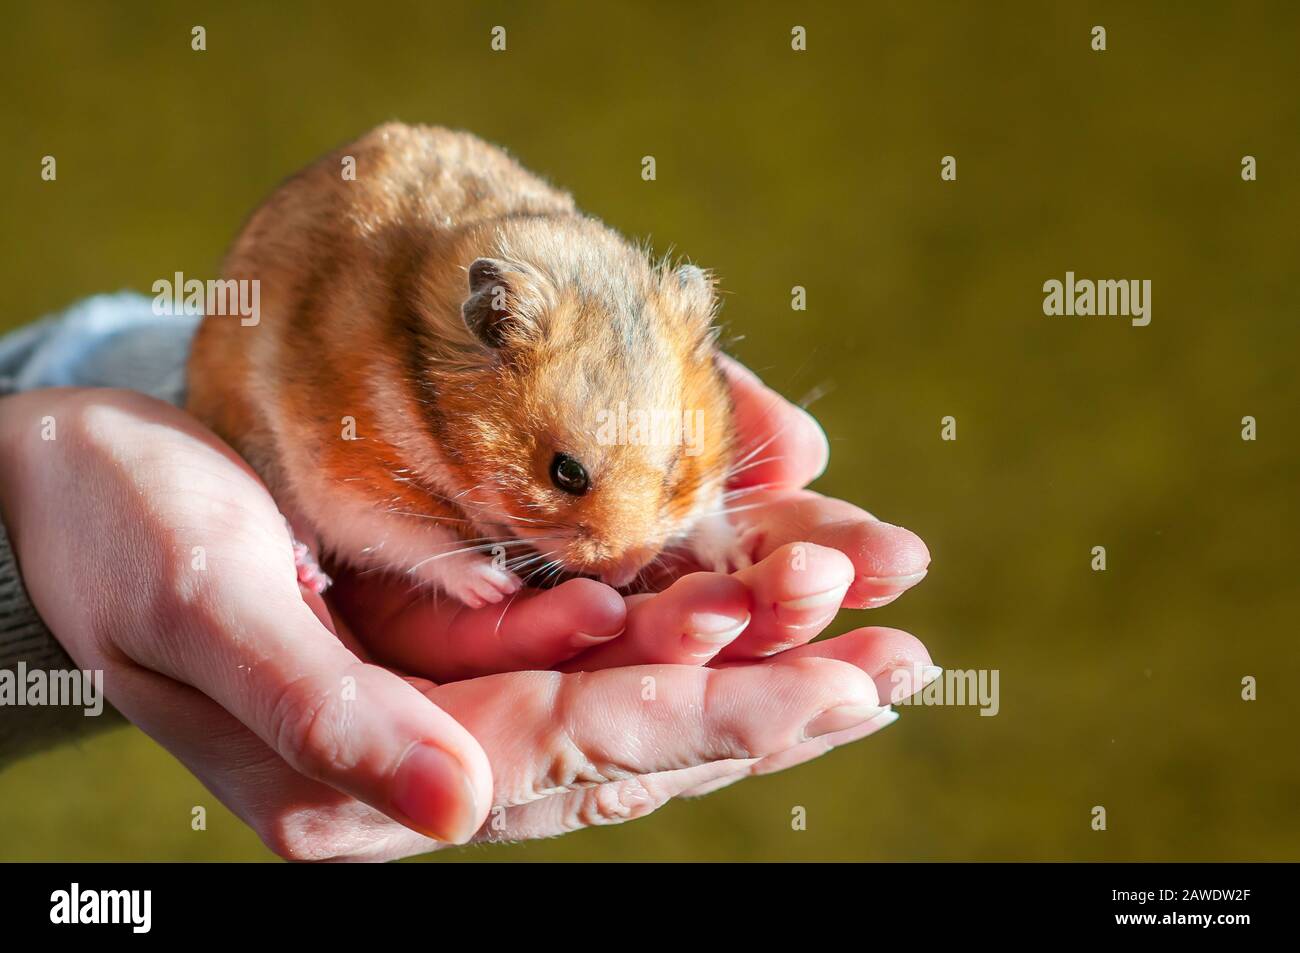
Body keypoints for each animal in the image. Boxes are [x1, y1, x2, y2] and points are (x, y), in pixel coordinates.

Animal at [186, 123, 746, 607]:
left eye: (675, 465)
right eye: (565, 473)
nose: (625, 571)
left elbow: (711, 504)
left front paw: (733, 557)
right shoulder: (341, 476)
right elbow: (407, 538)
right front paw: (494, 587)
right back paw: (307, 567)